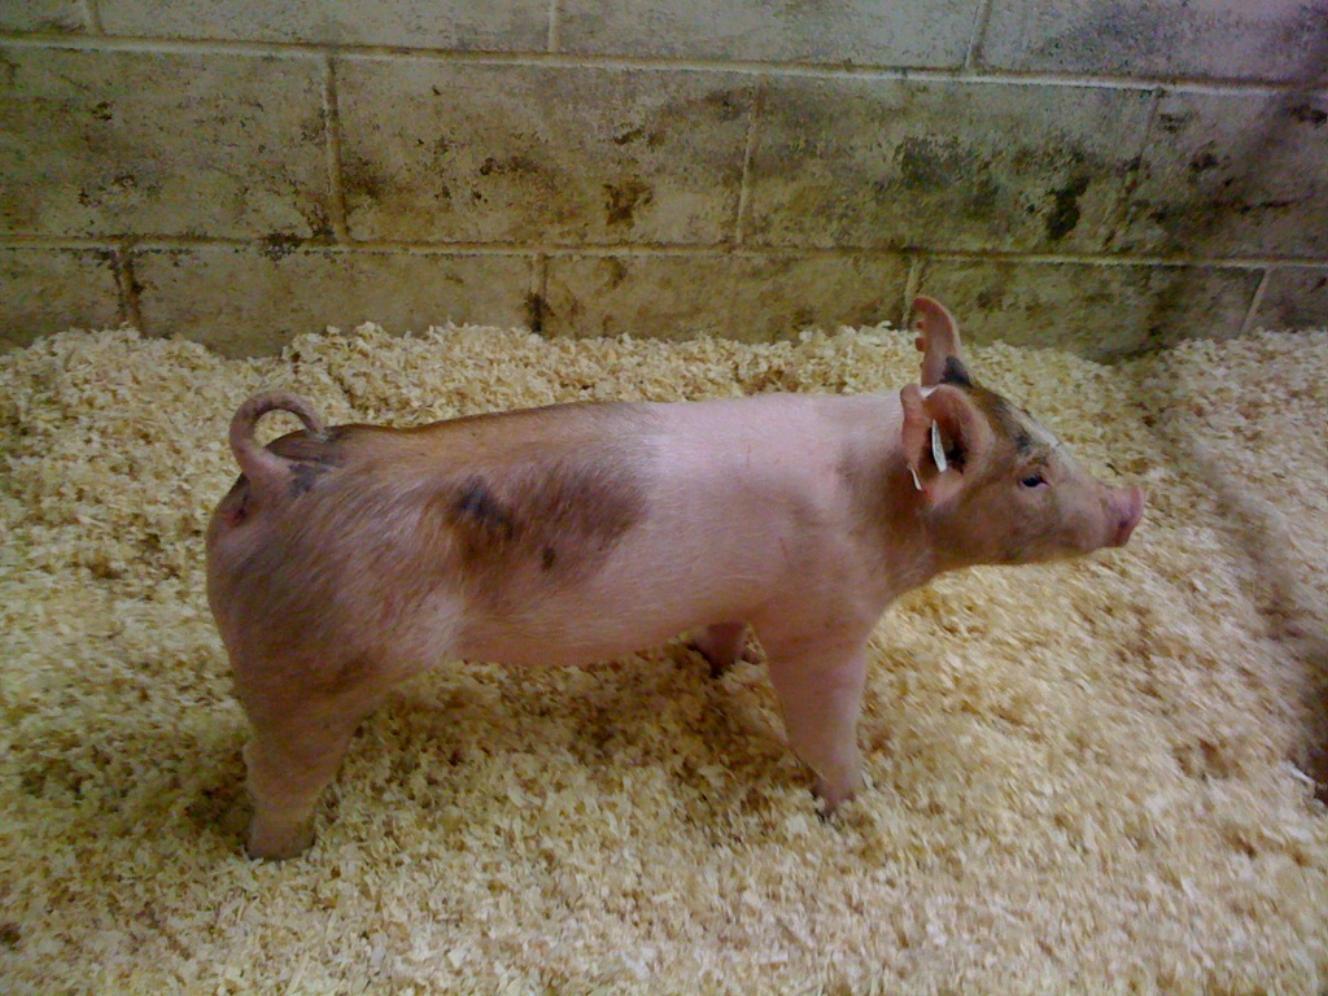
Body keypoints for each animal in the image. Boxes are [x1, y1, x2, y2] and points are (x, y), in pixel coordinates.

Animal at [206, 296, 1144, 859]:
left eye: (1053, 444)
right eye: (1032, 478)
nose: (1131, 503)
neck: (884, 504)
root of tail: (274, 474)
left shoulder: (748, 594)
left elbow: (723, 634)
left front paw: (718, 664)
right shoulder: (824, 618)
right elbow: (821, 718)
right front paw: (852, 804)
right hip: (308, 667)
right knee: (276, 772)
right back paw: (279, 854)